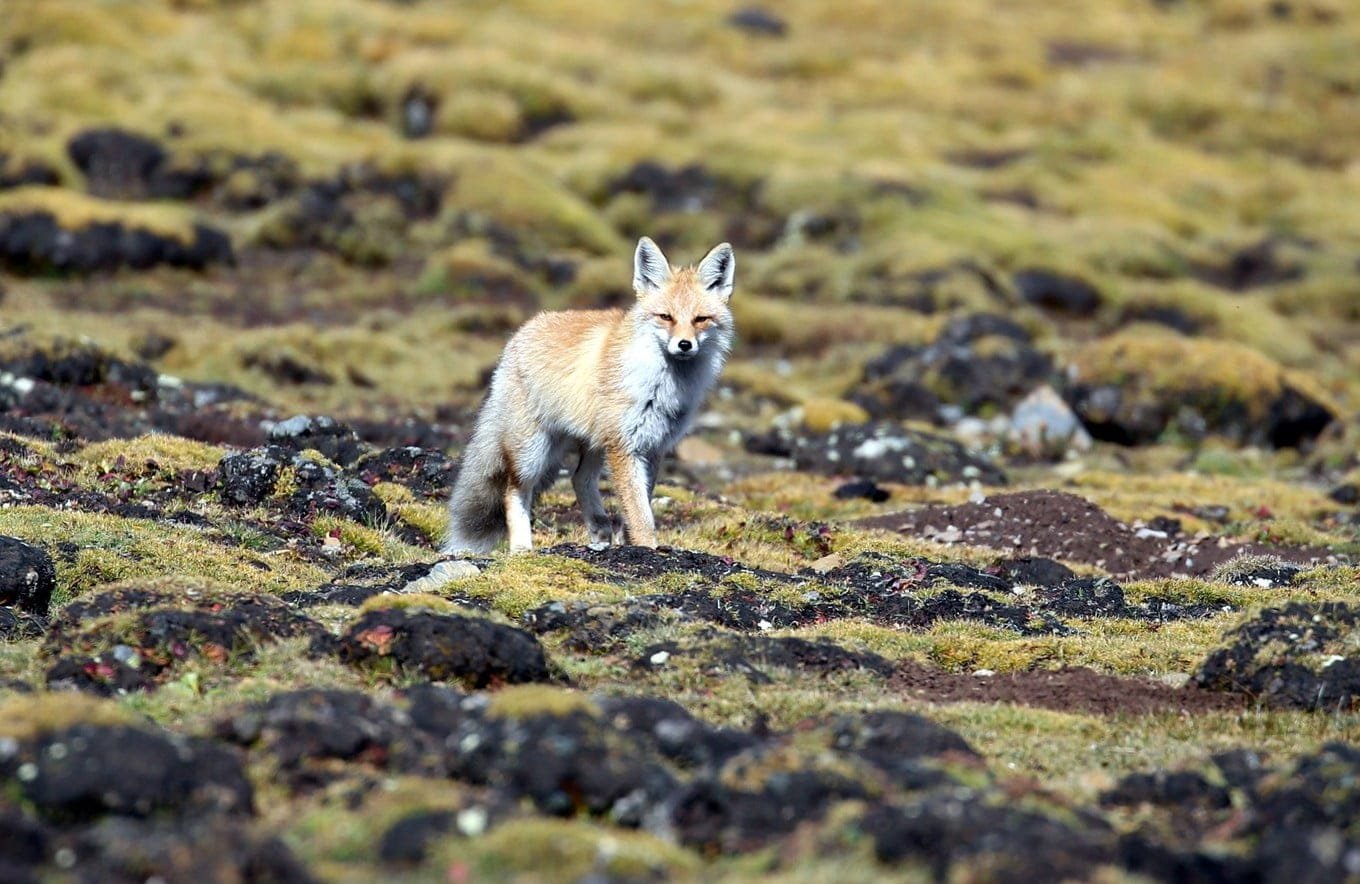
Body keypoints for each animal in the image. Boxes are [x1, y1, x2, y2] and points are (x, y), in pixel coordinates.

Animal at [442, 236, 736, 553]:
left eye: (701, 319)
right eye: (665, 317)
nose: (684, 345)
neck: (663, 386)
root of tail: (518, 334)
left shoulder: (654, 445)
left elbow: (638, 504)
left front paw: (628, 542)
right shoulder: (624, 446)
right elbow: (641, 514)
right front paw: (647, 549)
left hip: (593, 442)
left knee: (578, 478)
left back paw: (599, 529)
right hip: (533, 451)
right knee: (513, 490)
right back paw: (522, 548)